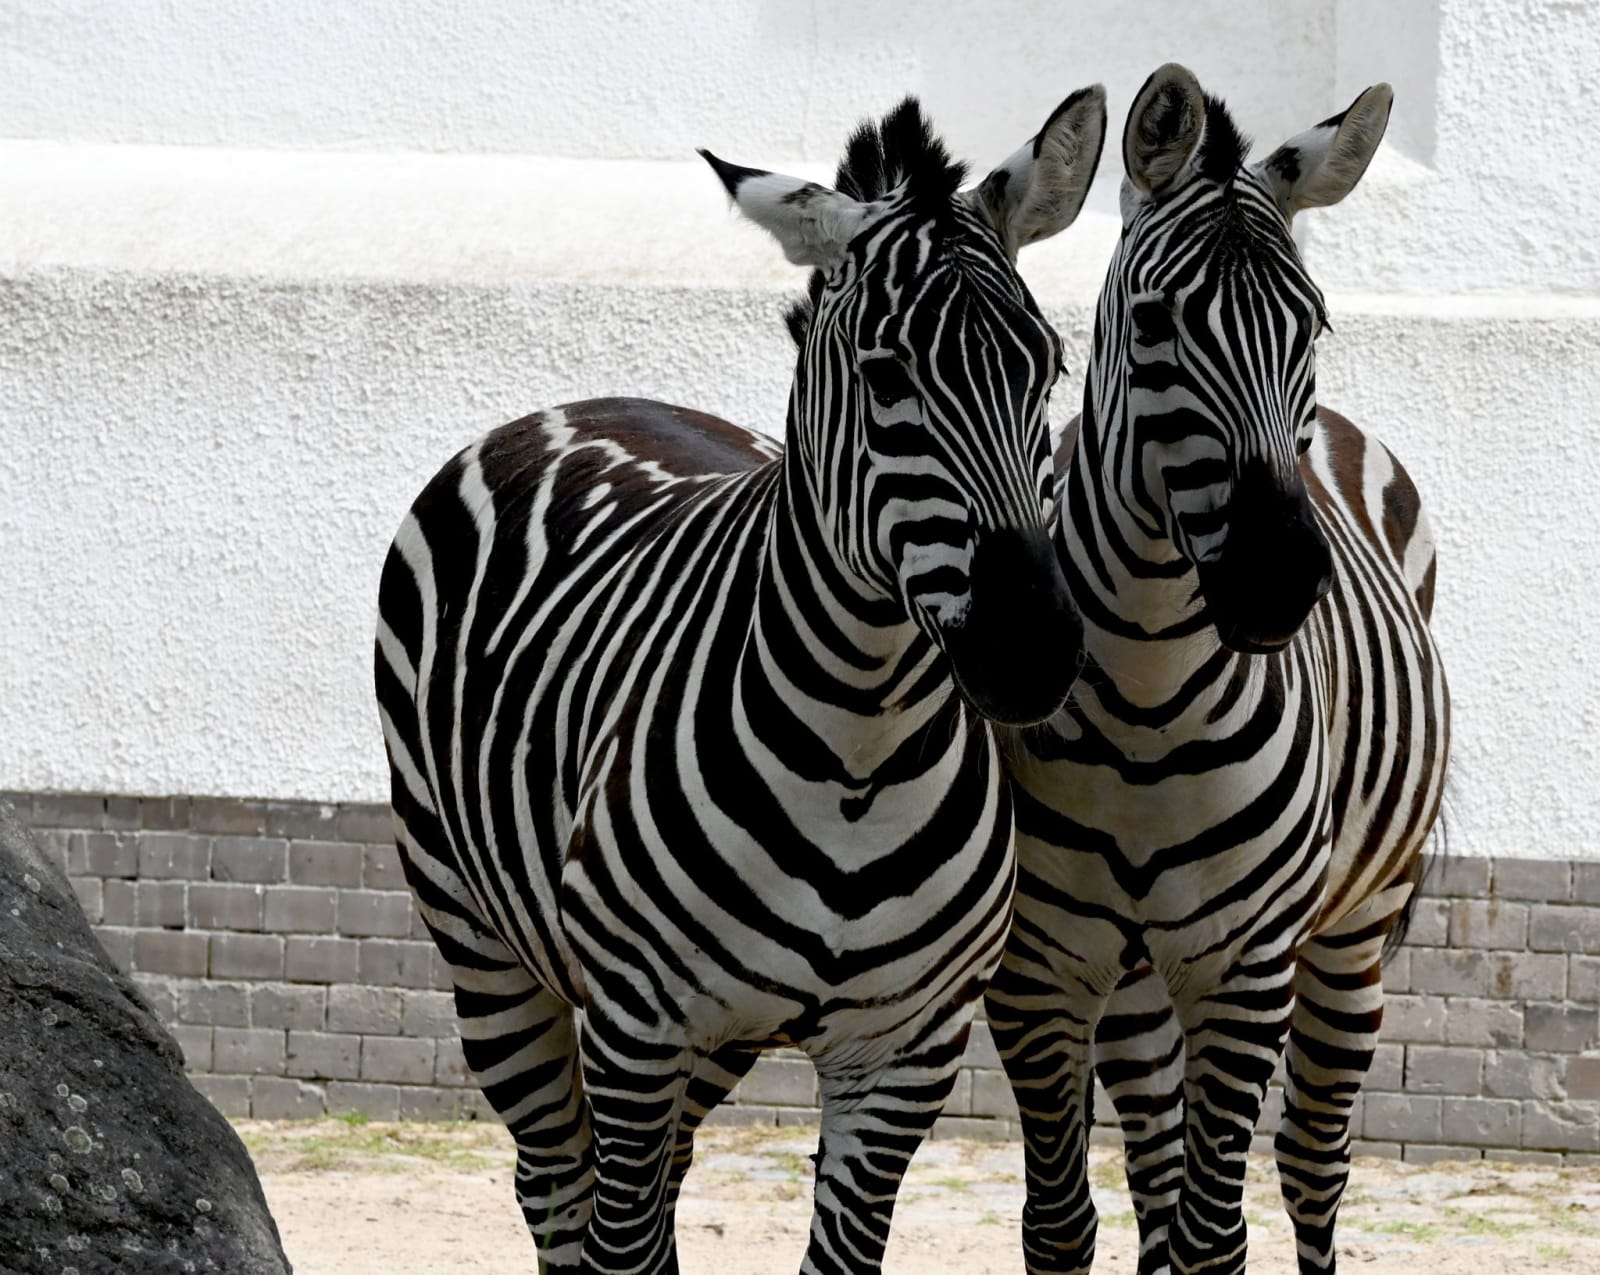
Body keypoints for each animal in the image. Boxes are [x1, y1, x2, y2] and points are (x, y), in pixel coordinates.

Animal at [374, 89, 1108, 1272]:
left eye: (1046, 368)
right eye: (884, 373)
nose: (1030, 647)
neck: (859, 746)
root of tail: (585, 400)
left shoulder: (904, 1053)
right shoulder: (638, 1028)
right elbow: (617, 1241)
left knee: (662, 1179)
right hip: (479, 939)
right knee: (558, 1189)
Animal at [988, 64, 1451, 1275]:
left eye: (1313, 321)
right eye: (1153, 324)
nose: (1279, 582)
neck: (1152, 695)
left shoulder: (1248, 972)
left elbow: (1214, 1234)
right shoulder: (1039, 973)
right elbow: (1064, 1224)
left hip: (1351, 928)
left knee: (1311, 1162)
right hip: (1141, 981)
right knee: (1155, 1173)